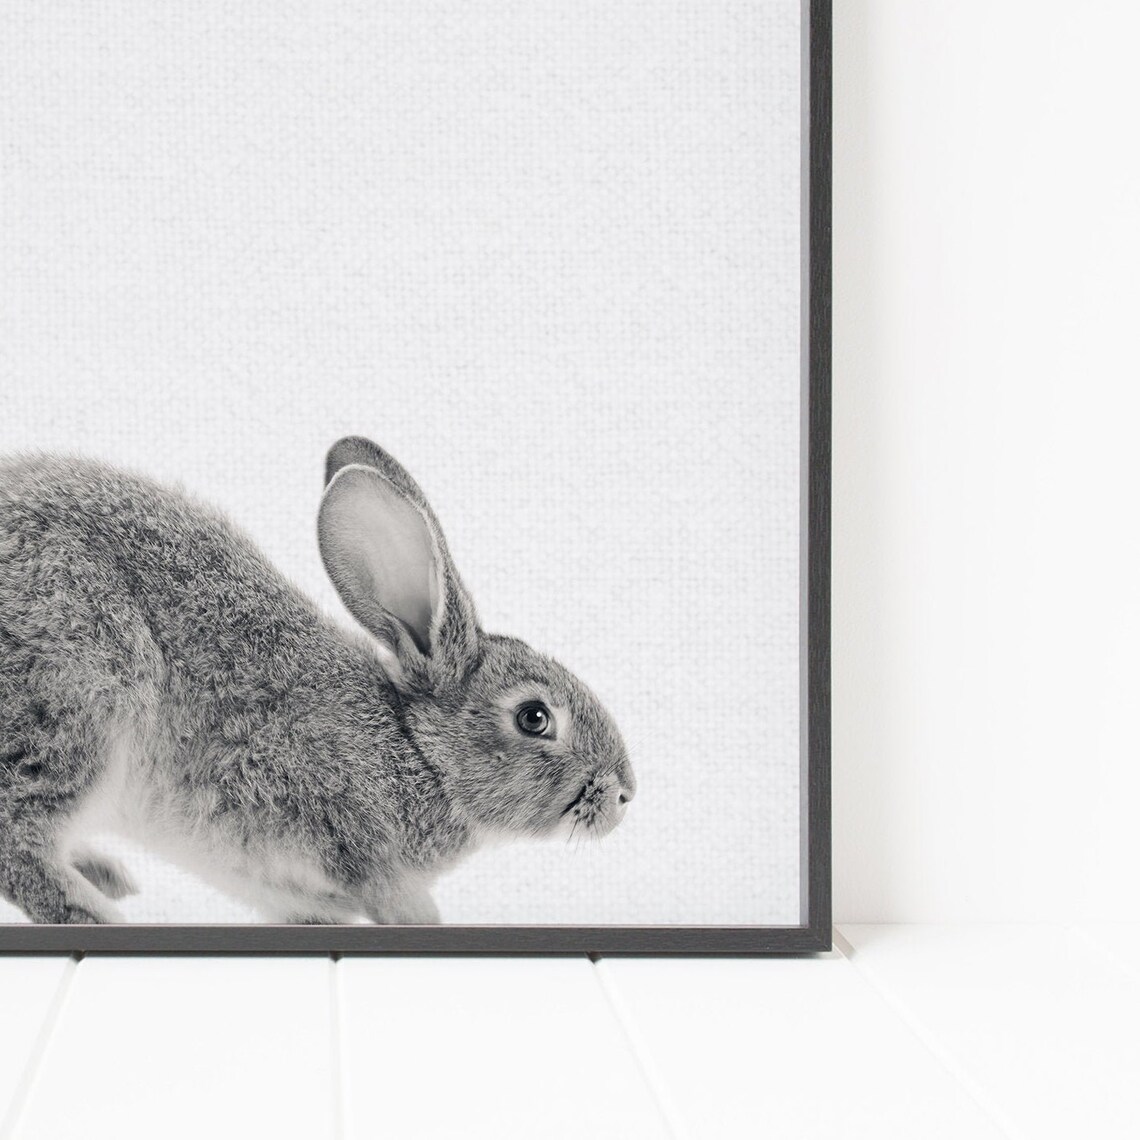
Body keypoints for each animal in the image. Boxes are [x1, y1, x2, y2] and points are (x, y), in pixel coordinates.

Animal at [0, 436, 635, 924]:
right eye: (535, 717)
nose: (625, 794)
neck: (419, 754)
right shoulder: (326, 813)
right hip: (81, 693)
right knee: (19, 840)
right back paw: (97, 913)